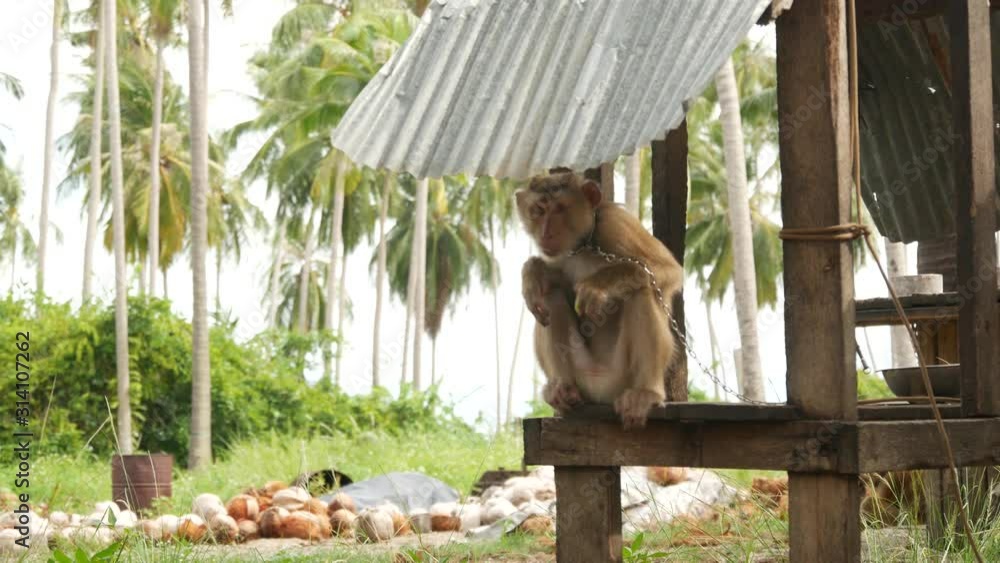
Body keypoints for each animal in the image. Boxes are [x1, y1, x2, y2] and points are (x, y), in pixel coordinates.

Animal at [516, 171, 683, 429]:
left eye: (560, 208)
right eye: (539, 210)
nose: (545, 234)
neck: (583, 244)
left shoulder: (617, 224)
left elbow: (666, 270)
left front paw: (598, 285)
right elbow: (554, 282)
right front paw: (533, 272)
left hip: (622, 377)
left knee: (641, 290)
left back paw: (646, 393)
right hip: (584, 375)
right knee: (548, 296)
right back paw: (561, 389)